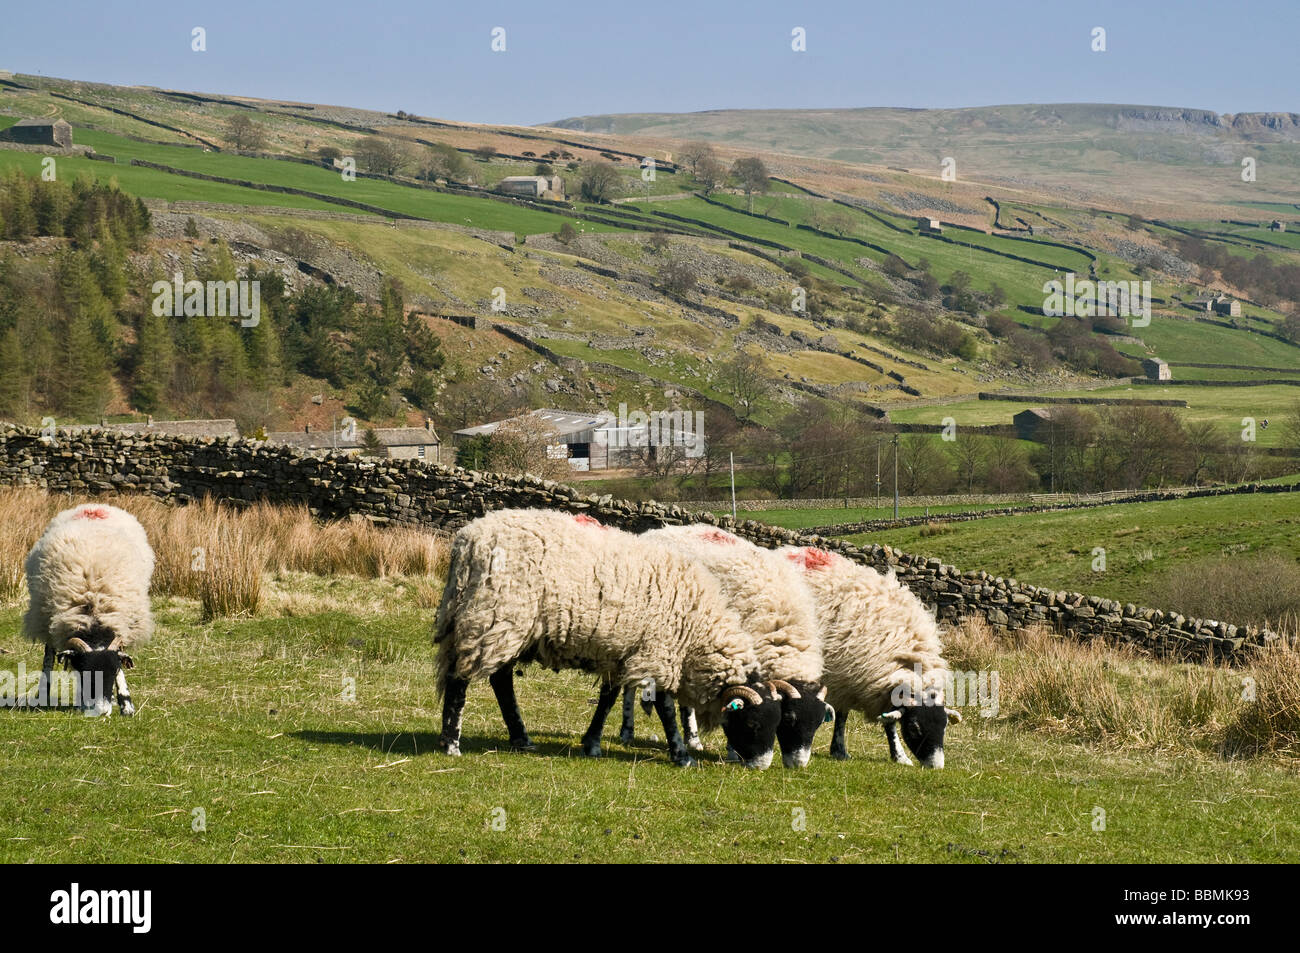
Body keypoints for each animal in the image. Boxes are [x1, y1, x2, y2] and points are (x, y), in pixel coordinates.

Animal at [23, 503, 155, 717]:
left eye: (113, 671)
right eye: (86, 672)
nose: (101, 711)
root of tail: (93, 506)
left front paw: (126, 703)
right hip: (44, 616)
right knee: (48, 655)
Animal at [433, 509, 784, 768]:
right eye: (753, 724)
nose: (762, 765)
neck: (697, 630)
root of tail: (467, 540)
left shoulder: (621, 652)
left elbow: (608, 699)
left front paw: (592, 743)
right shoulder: (658, 650)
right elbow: (665, 708)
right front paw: (681, 755)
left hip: (507, 624)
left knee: (500, 680)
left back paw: (521, 738)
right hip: (493, 615)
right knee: (460, 678)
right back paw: (451, 744)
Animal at [612, 525, 832, 767]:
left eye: (818, 723)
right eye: (790, 719)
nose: (799, 764)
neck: (780, 627)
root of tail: (654, 531)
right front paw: (732, 752)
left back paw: (692, 739)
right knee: (631, 685)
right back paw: (628, 731)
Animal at [777, 545, 961, 768]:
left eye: (944, 725)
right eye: (914, 728)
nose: (936, 766)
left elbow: (885, 720)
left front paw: (898, 755)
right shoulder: (841, 676)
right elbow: (846, 716)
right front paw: (841, 750)